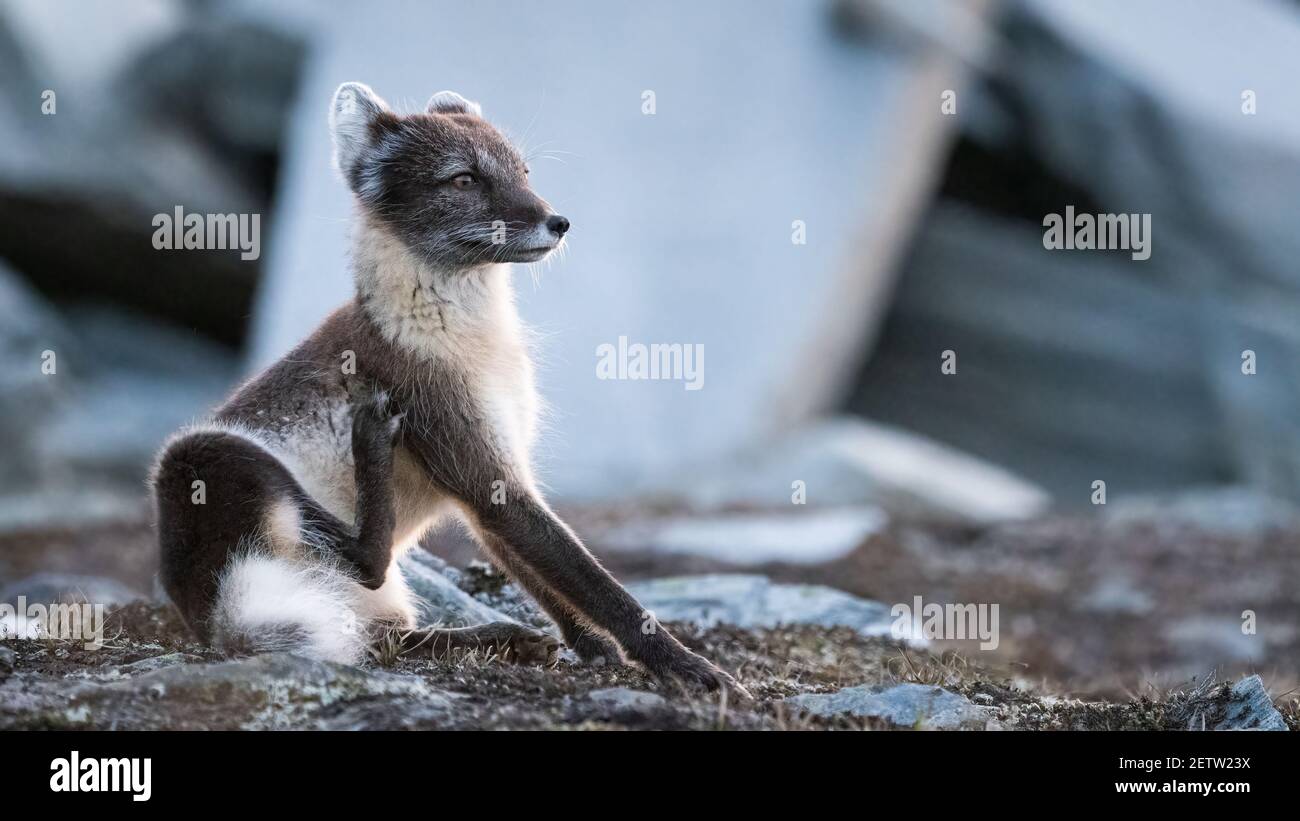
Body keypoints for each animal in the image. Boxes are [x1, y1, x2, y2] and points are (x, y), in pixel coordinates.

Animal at [152, 82, 744, 694]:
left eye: (522, 171)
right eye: (464, 179)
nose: (559, 222)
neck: (471, 340)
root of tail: (214, 618)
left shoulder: (497, 475)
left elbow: (541, 580)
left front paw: (592, 648)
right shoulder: (478, 466)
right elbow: (599, 586)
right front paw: (694, 670)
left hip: (370, 605)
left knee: (388, 638)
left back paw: (502, 637)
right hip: (202, 454)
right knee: (368, 561)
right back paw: (371, 442)